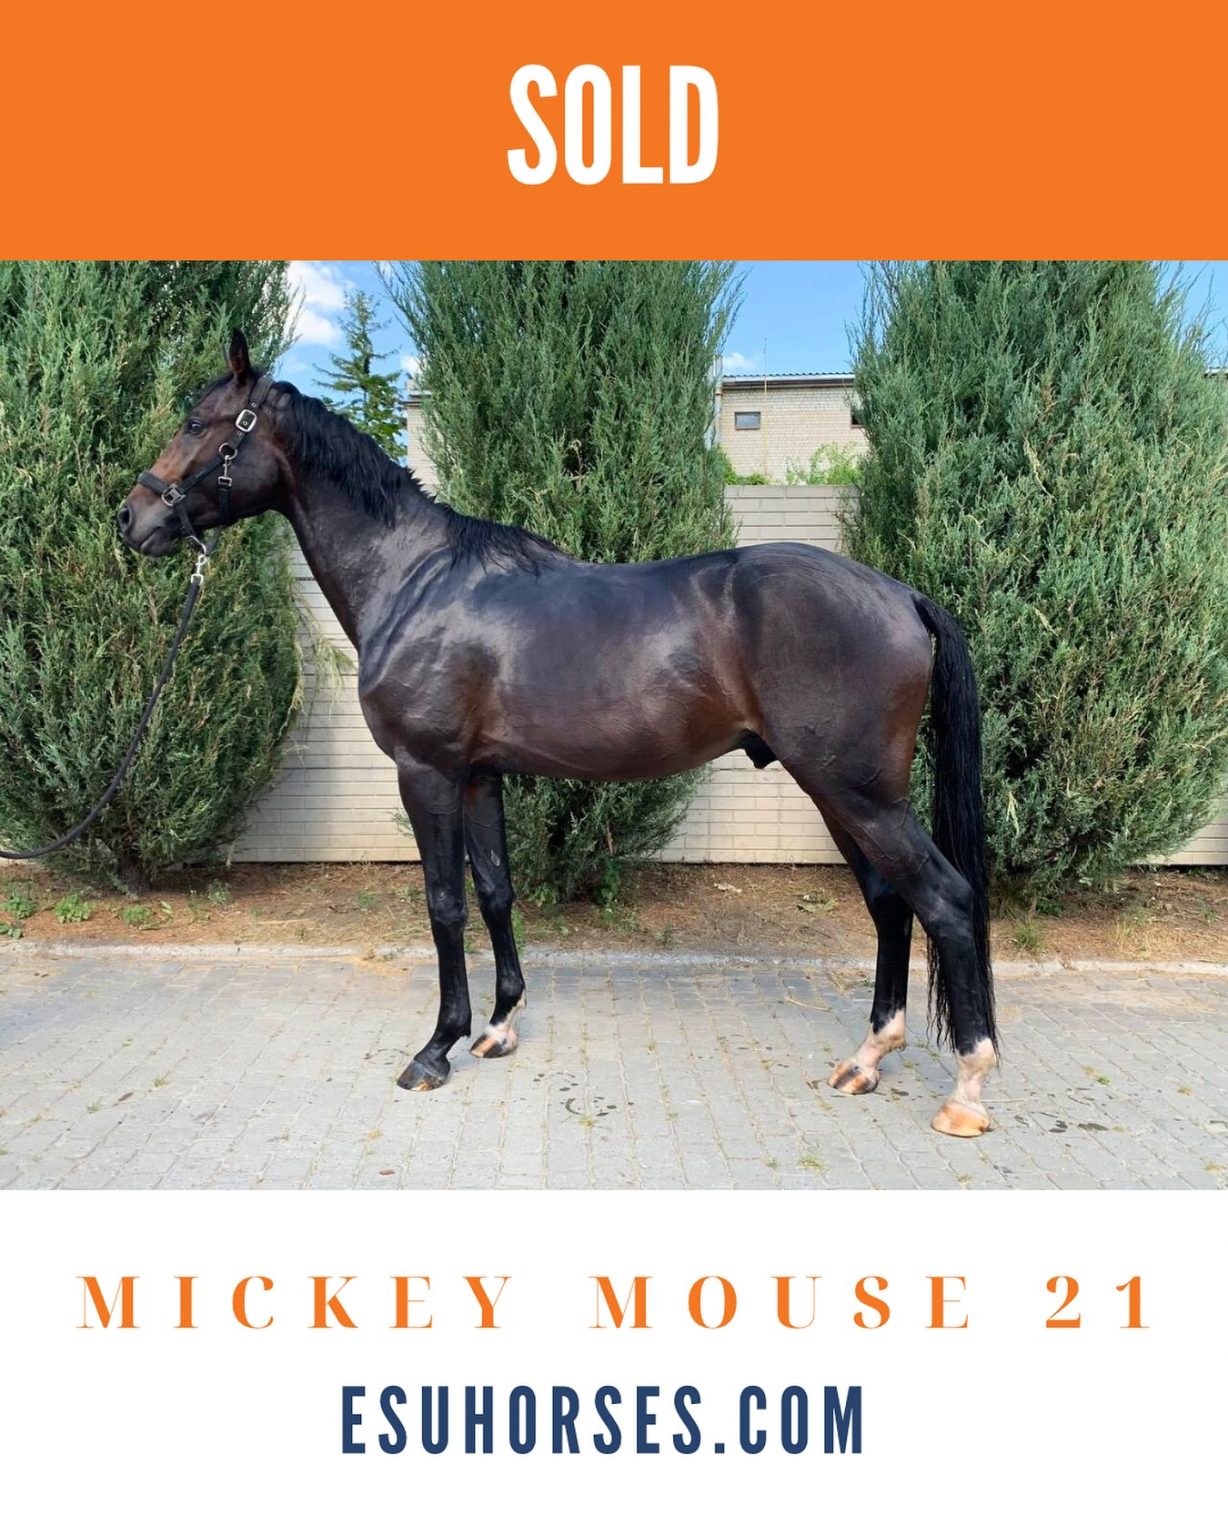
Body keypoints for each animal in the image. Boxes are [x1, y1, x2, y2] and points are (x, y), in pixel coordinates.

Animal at [119, 331, 997, 1138]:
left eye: (198, 422)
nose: (132, 517)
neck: (415, 580)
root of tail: (902, 594)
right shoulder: (479, 774)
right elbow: (495, 891)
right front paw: (499, 1026)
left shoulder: (426, 771)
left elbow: (444, 903)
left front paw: (436, 1048)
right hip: (840, 792)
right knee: (891, 903)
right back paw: (868, 1058)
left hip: (855, 790)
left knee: (946, 901)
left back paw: (966, 1088)